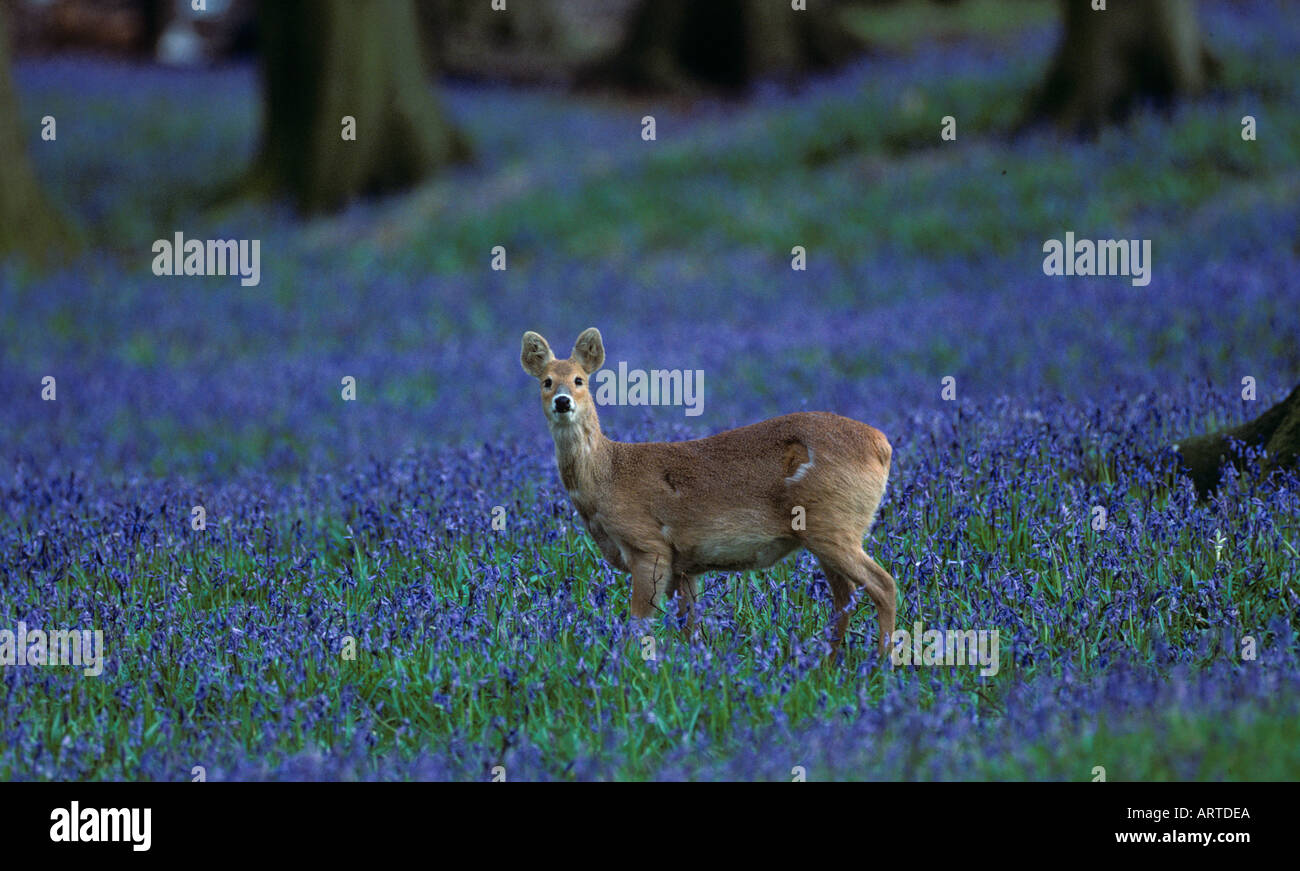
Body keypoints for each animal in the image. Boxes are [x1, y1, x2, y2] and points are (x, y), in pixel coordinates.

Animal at [520, 327, 897, 658]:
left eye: (580, 380)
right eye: (546, 381)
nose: (563, 401)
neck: (607, 478)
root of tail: (882, 444)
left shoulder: (649, 545)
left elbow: (638, 624)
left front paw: (629, 668)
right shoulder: (685, 565)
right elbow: (691, 628)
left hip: (834, 524)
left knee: (884, 585)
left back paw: (880, 664)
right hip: (826, 533)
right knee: (845, 596)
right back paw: (829, 664)